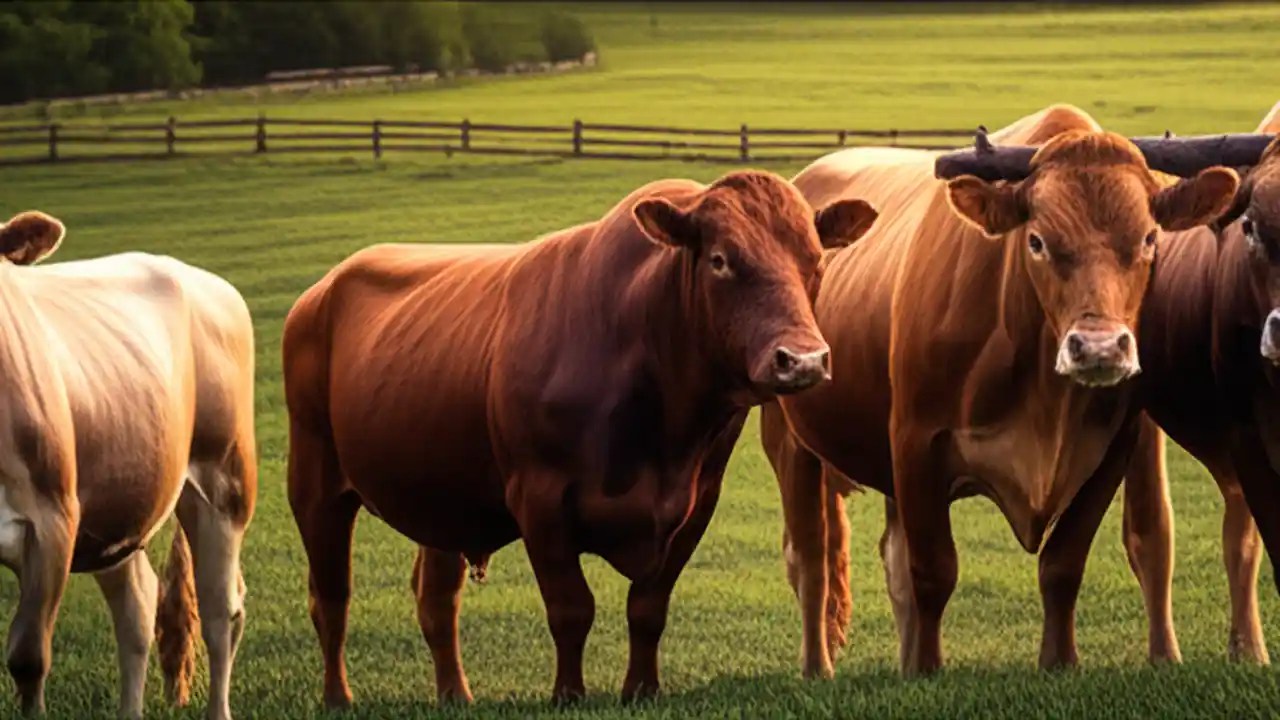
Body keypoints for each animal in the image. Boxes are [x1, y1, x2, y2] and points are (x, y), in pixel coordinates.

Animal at [0, 211, 257, 719]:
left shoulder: (52, 520)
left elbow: (28, 658)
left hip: (223, 479)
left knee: (221, 611)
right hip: (122, 506)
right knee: (137, 610)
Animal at [281, 170, 879, 706]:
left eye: (815, 260)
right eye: (720, 260)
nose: (802, 360)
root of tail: (322, 289)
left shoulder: (696, 503)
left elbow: (648, 607)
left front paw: (641, 689)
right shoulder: (539, 499)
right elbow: (572, 608)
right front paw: (568, 693)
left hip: (439, 494)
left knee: (435, 600)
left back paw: (455, 696)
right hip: (314, 483)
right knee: (330, 599)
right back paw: (338, 697)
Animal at [761, 104, 1250, 679]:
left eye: (1150, 239)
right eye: (1036, 241)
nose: (1100, 348)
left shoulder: (1111, 451)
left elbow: (1063, 564)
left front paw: (1059, 661)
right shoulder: (915, 442)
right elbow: (933, 570)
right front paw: (927, 670)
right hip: (789, 440)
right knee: (810, 560)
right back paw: (819, 666)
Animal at [1121, 102, 1280, 665]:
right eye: (1252, 227)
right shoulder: (1250, 435)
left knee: (1239, 538)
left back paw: (1247, 648)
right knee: (1152, 534)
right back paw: (1165, 653)